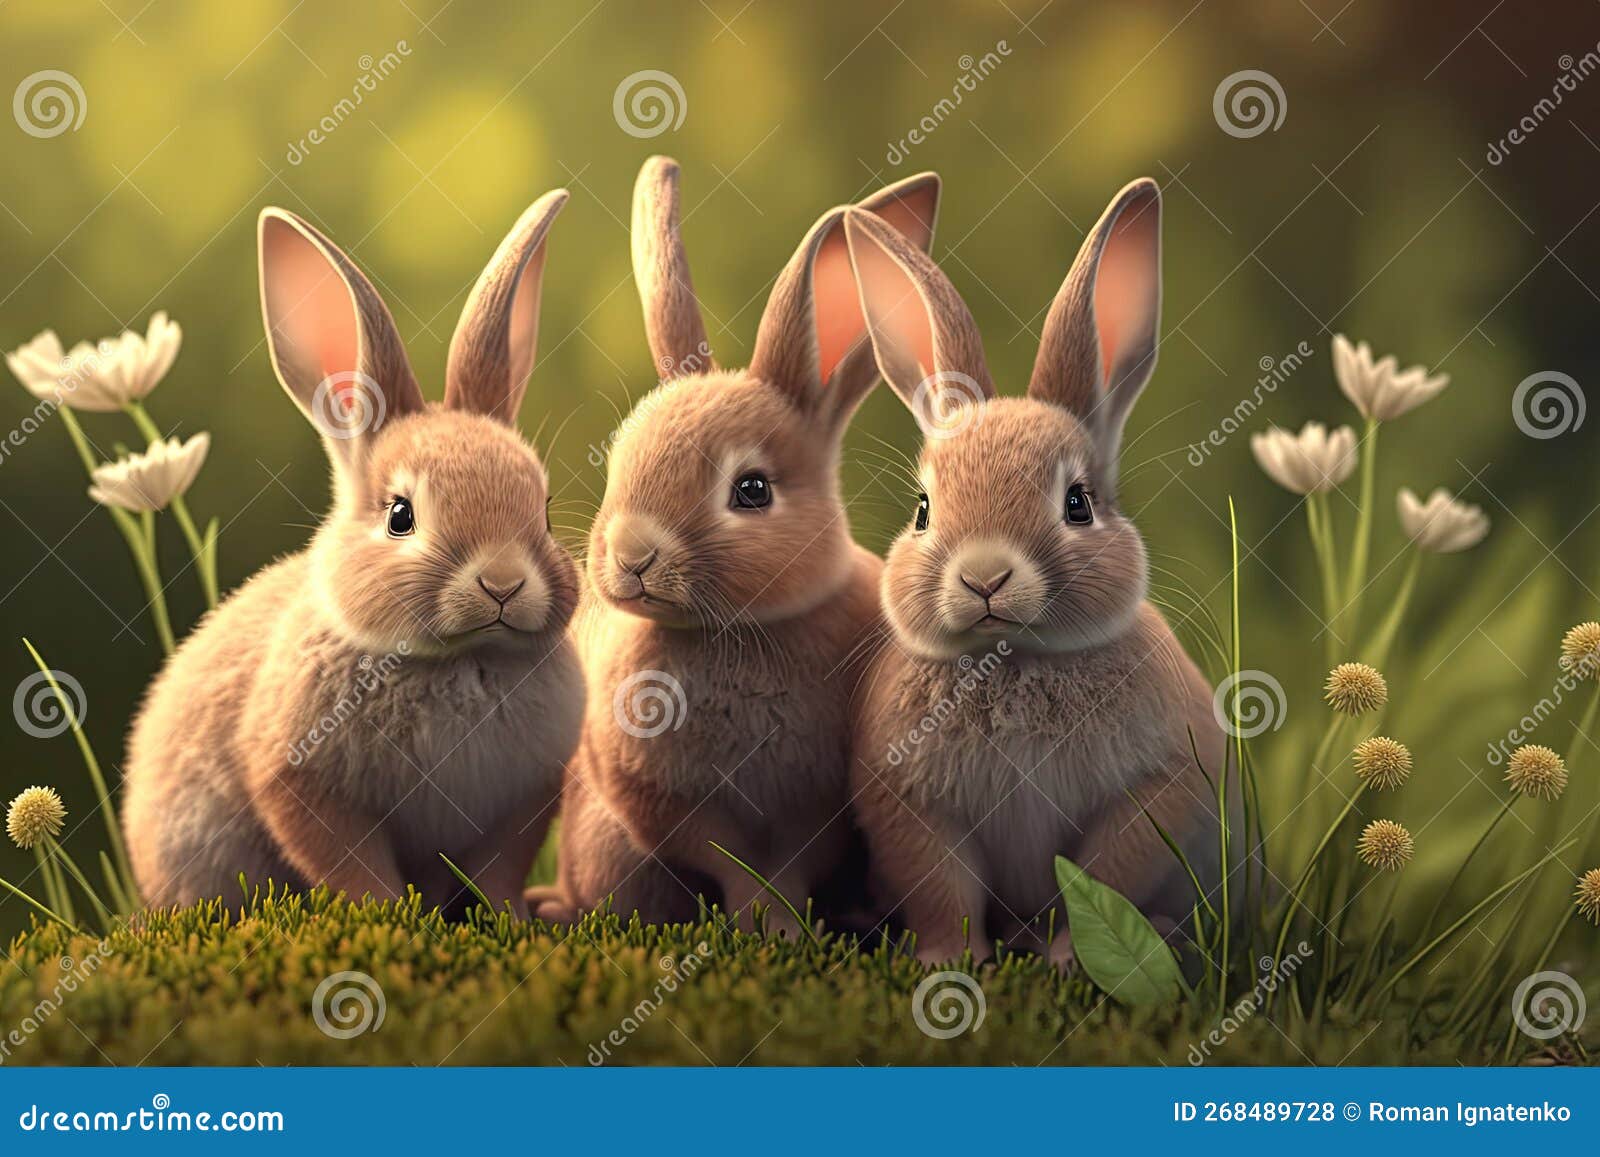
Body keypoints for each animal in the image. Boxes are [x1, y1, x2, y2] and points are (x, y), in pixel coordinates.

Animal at [121, 192, 584, 918]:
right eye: (400, 515)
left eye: (542, 507)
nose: (504, 583)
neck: (458, 659)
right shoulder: (300, 783)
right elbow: (354, 868)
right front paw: (396, 918)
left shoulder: (524, 799)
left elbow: (499, 874)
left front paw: (518, 921)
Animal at [533, 156, 941, 935]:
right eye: (617, 465)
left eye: (751, 490)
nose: (631, 556)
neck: (736, 631)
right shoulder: (667, 802)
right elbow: (730, 861)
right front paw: (764, 928)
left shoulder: (813, 811)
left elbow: (781, 870)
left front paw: (778, 931)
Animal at [840, 181, 1232, 967]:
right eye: (923, 510)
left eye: (1077, 503)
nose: (985, 577)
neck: (1014, 657)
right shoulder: (910, 807)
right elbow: (943, 893)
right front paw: (950, 963)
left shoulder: (1156, 790)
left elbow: (1106, 875)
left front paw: (1070, 960)